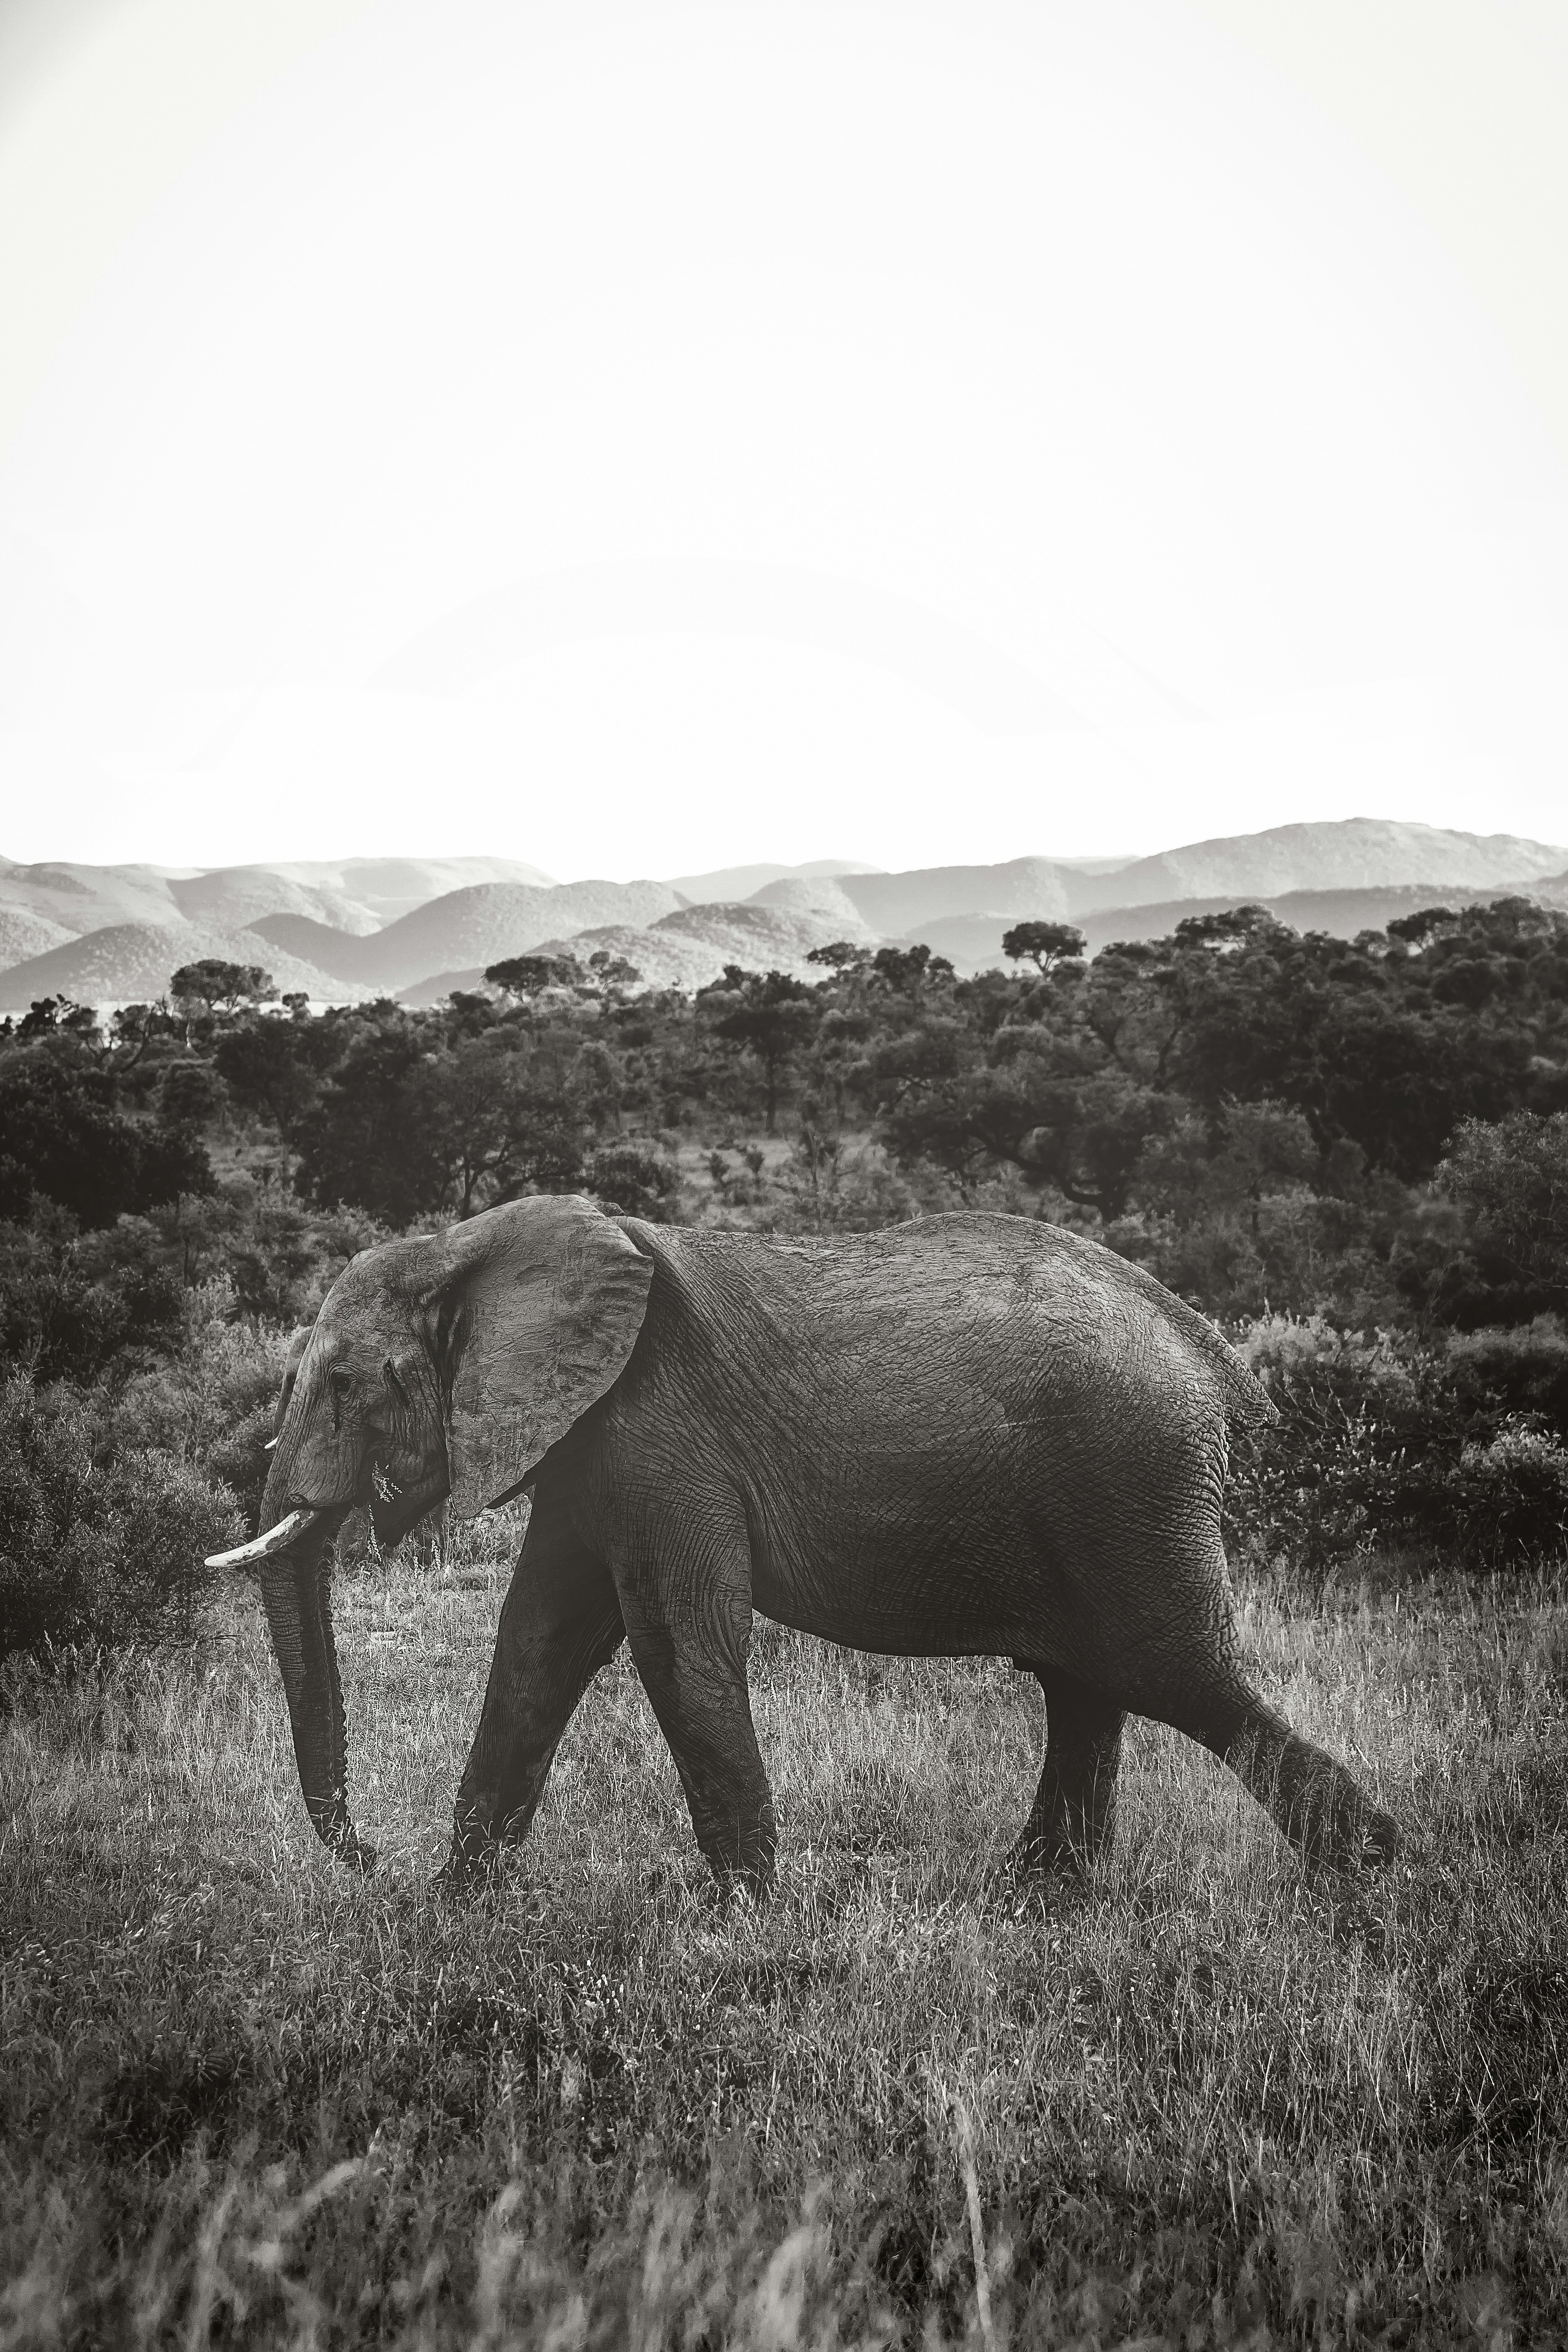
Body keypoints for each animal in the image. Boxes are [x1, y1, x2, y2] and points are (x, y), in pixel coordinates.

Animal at [208, 1194, 1398, 1889]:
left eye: (344, 1382)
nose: (370, 1858)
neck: (470, 1246)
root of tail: (1210, 1353)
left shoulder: (655, 1431)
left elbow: (675, 1649)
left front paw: (742, 1921)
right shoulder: (588, 1446)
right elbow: (537, 1645)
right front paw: (460, 1911)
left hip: (1130, 1479)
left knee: (1169, 1671)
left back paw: (1371, 1881)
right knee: (1087, 1686)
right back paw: (1036, 1907)